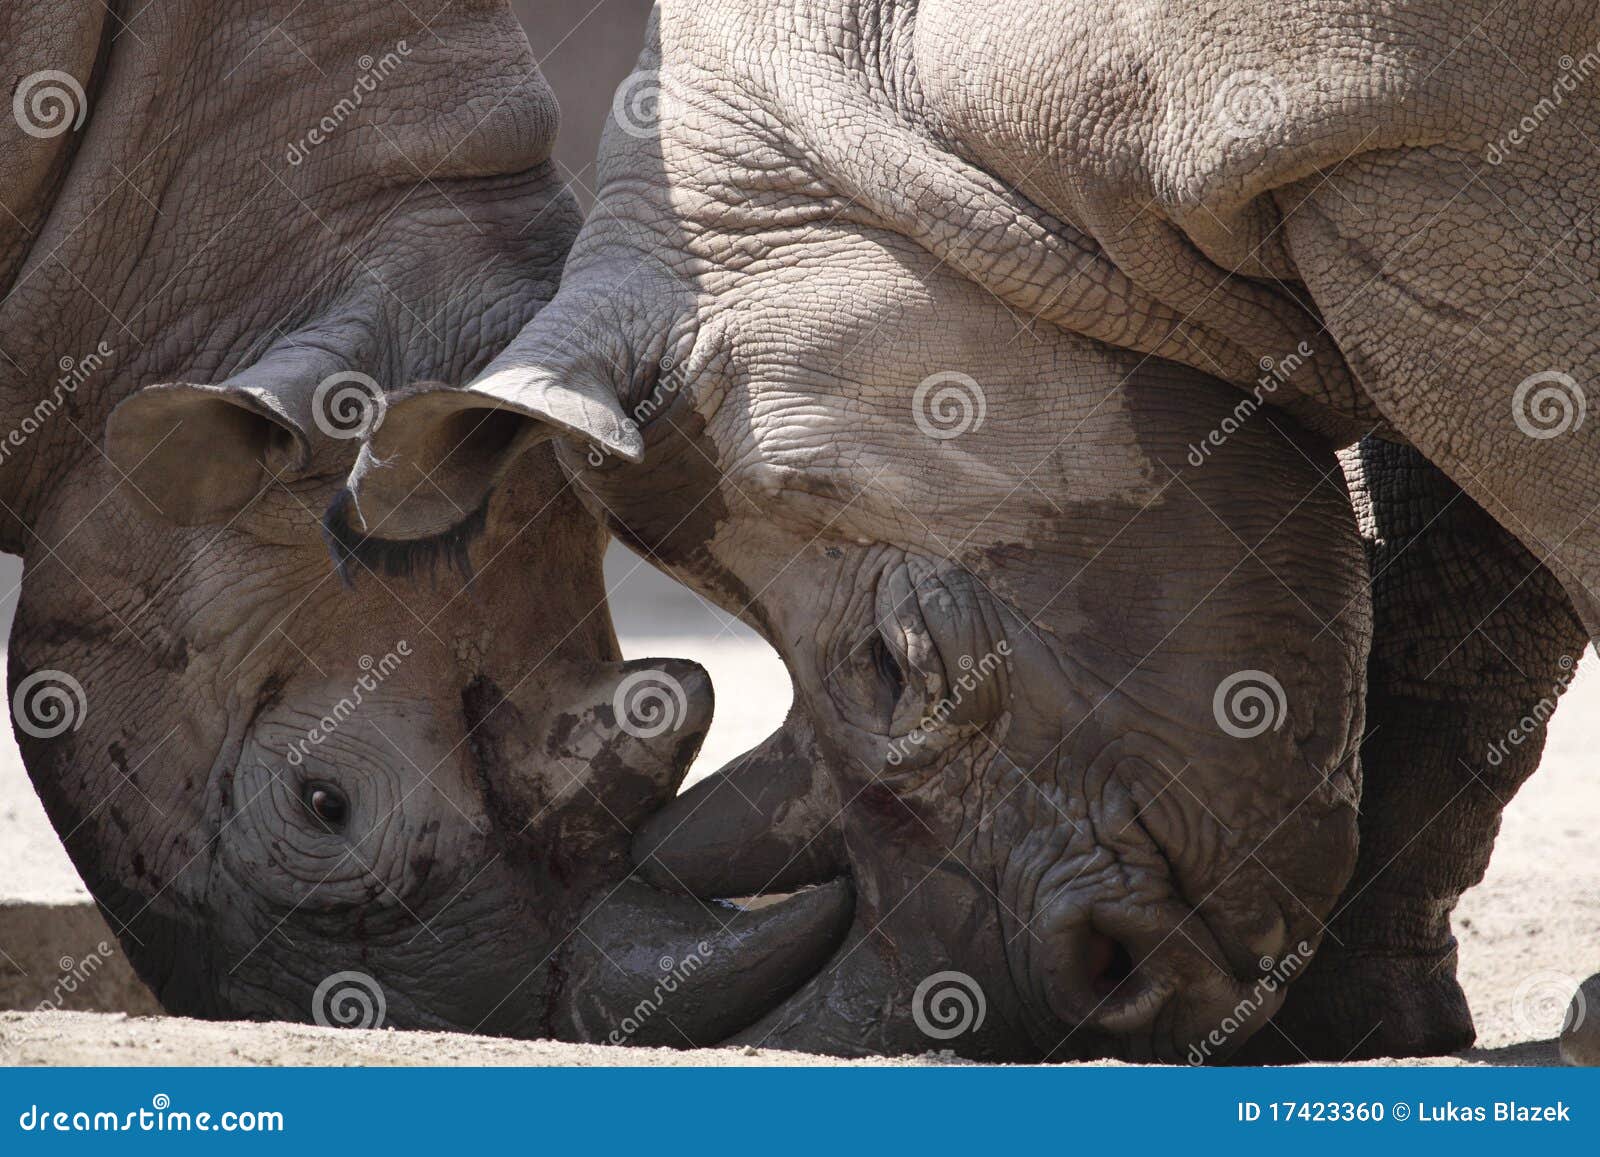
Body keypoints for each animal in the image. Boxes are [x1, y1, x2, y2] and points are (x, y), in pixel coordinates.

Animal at [352, 0, 1594, 1061]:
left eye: (895, 663)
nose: (1091, 975)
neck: (909, 144)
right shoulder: (1362, 145)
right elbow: (1461, 575)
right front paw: (1353, 1022)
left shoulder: (1377, 115)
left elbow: (1557, 474)